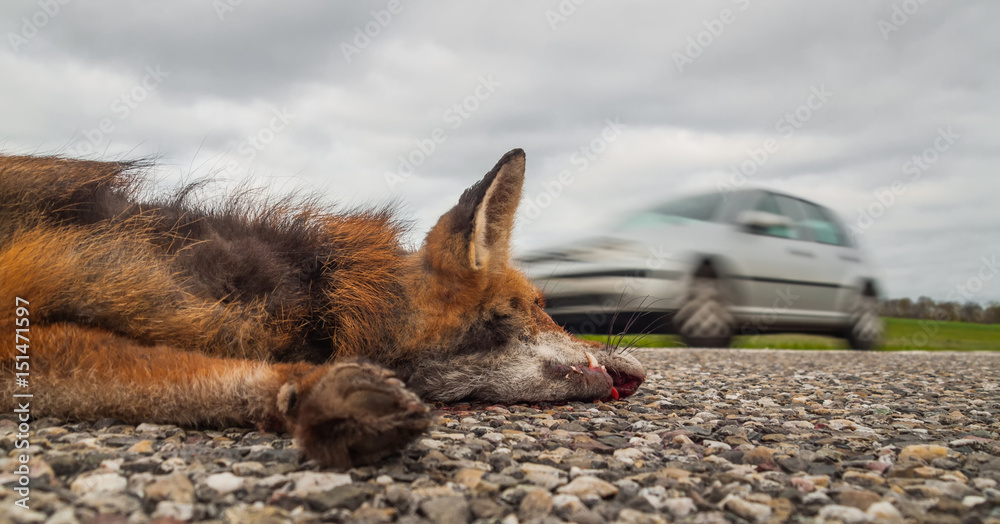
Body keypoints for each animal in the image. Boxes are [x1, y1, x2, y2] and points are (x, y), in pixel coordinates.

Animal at [0, 149, 645, 468]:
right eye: (538, 305)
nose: (637, 370)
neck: (322, 300)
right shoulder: (19, 319)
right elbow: (162, 377)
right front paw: (313, 396)